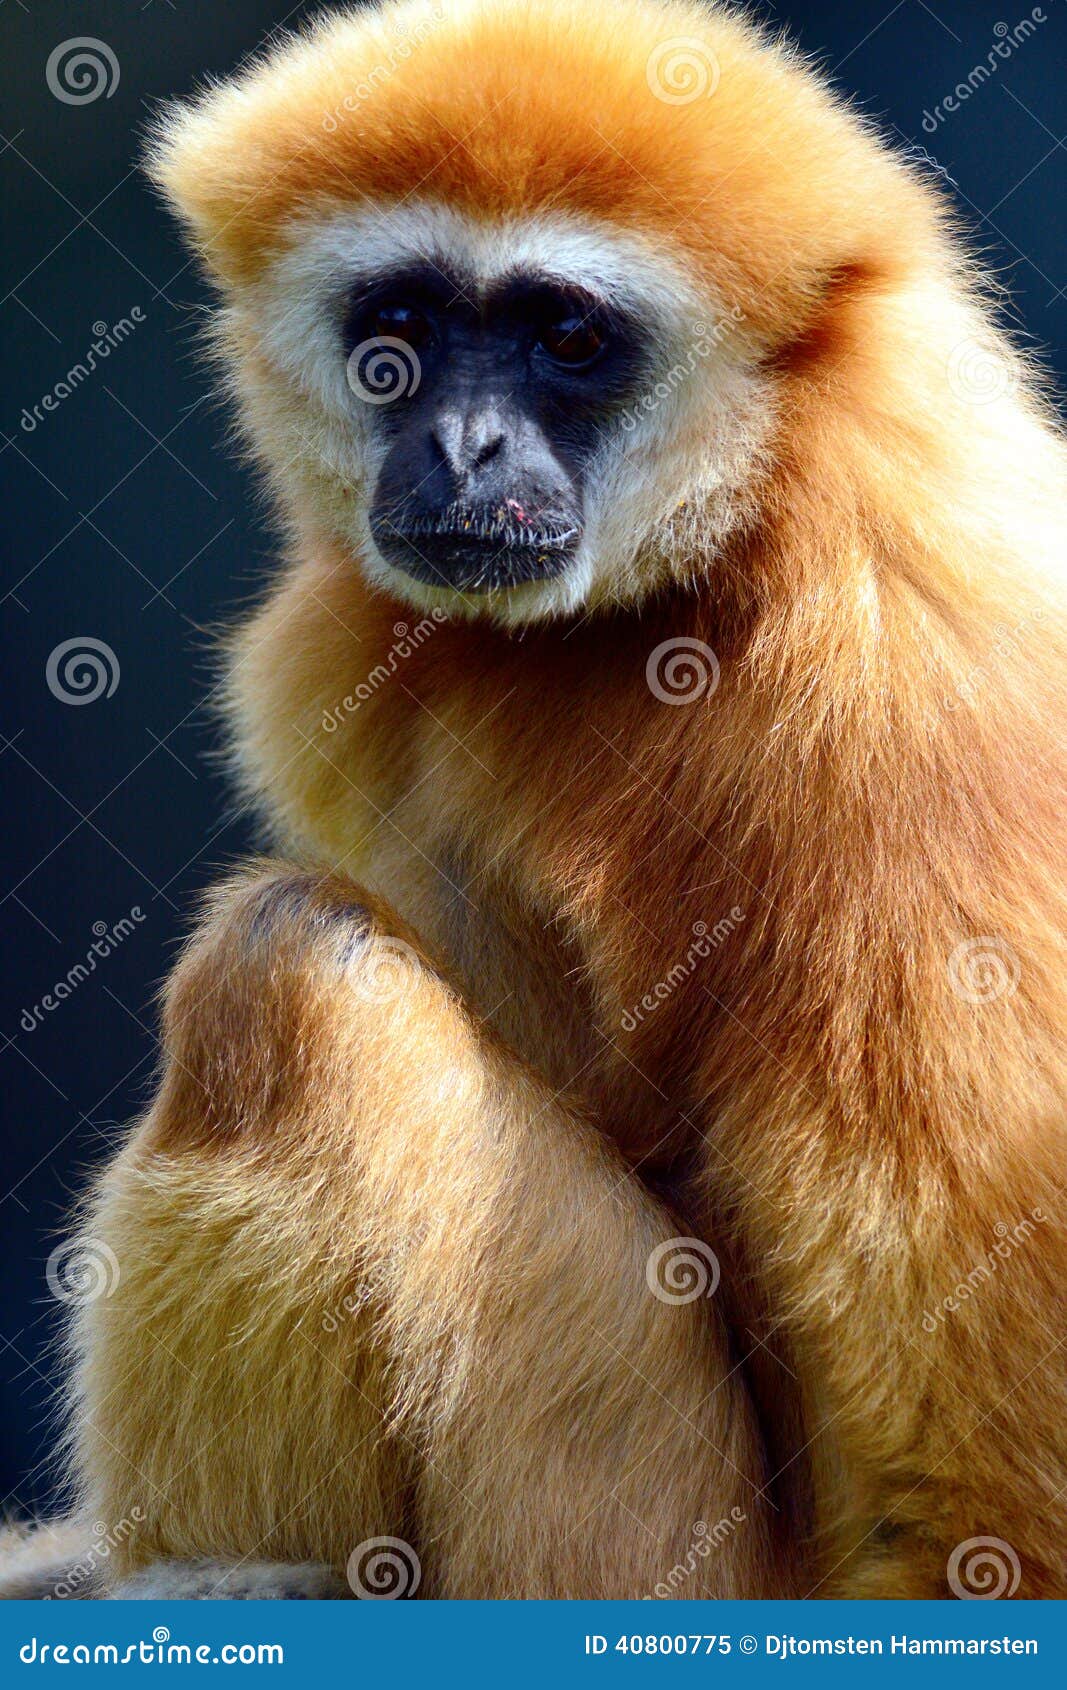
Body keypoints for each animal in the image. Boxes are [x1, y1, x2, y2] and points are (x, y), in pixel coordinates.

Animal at [4, 0, 1064, 1601]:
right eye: (400, 333)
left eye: (568, 338)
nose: (464, 446)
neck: (722, 548)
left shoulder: (908, 706)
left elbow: (962, 1504)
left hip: (625, 1540)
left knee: (287, 972)